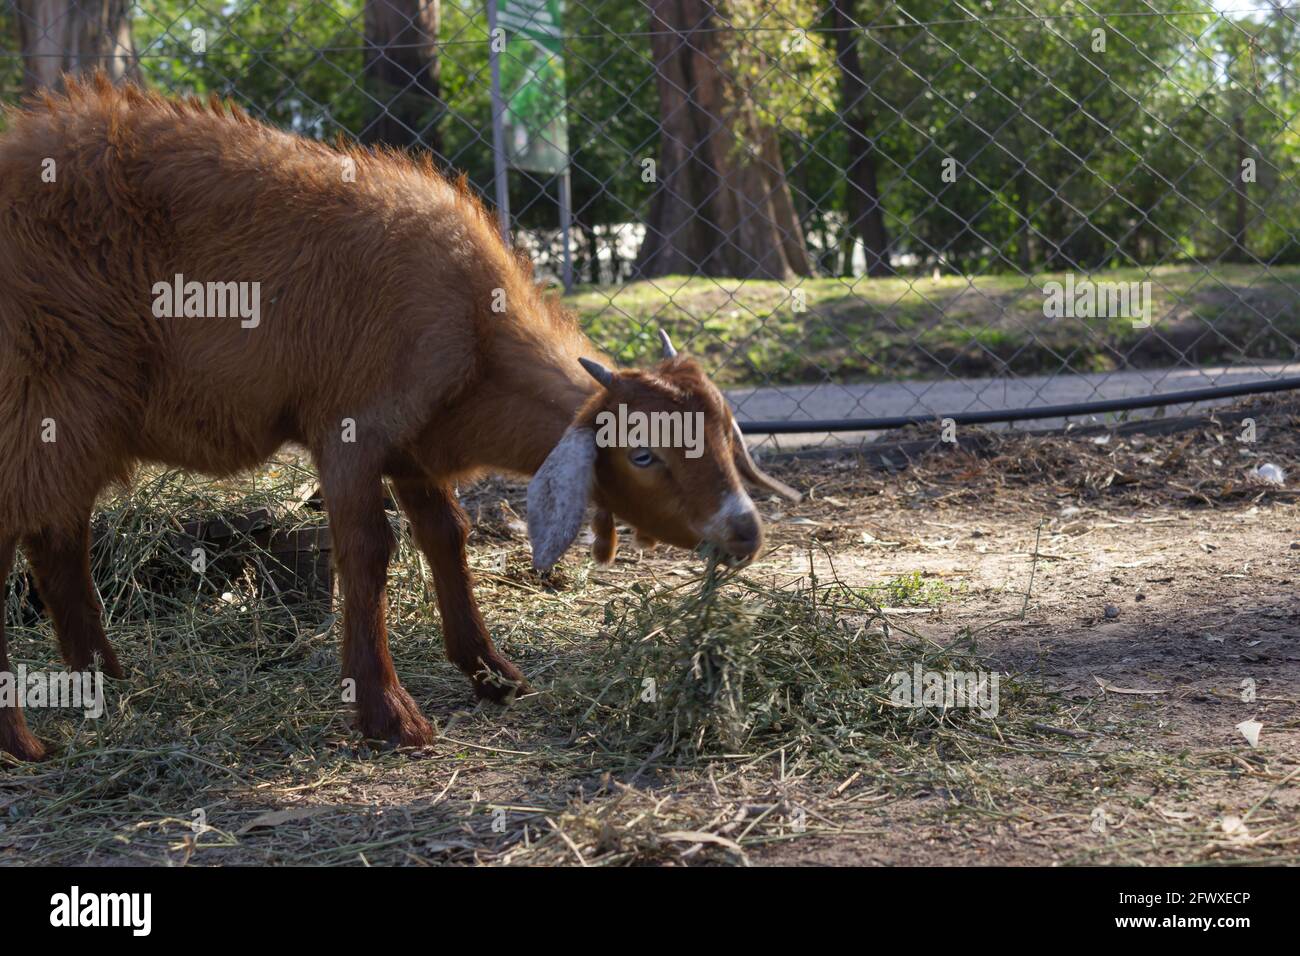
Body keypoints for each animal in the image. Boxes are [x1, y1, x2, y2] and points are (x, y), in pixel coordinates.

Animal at [0, 76, 799, 761]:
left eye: (722, 436)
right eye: (642, 455)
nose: (744, 531)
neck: (473, 326)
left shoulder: (414, 443)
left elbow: (448, 535)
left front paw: (493, 674)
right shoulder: (349, 428)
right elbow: (367, 550)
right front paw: (388, 713)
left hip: (77, 420)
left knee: (57, 538)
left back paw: (103, 680)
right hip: (44, 391)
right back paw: (22, 740)